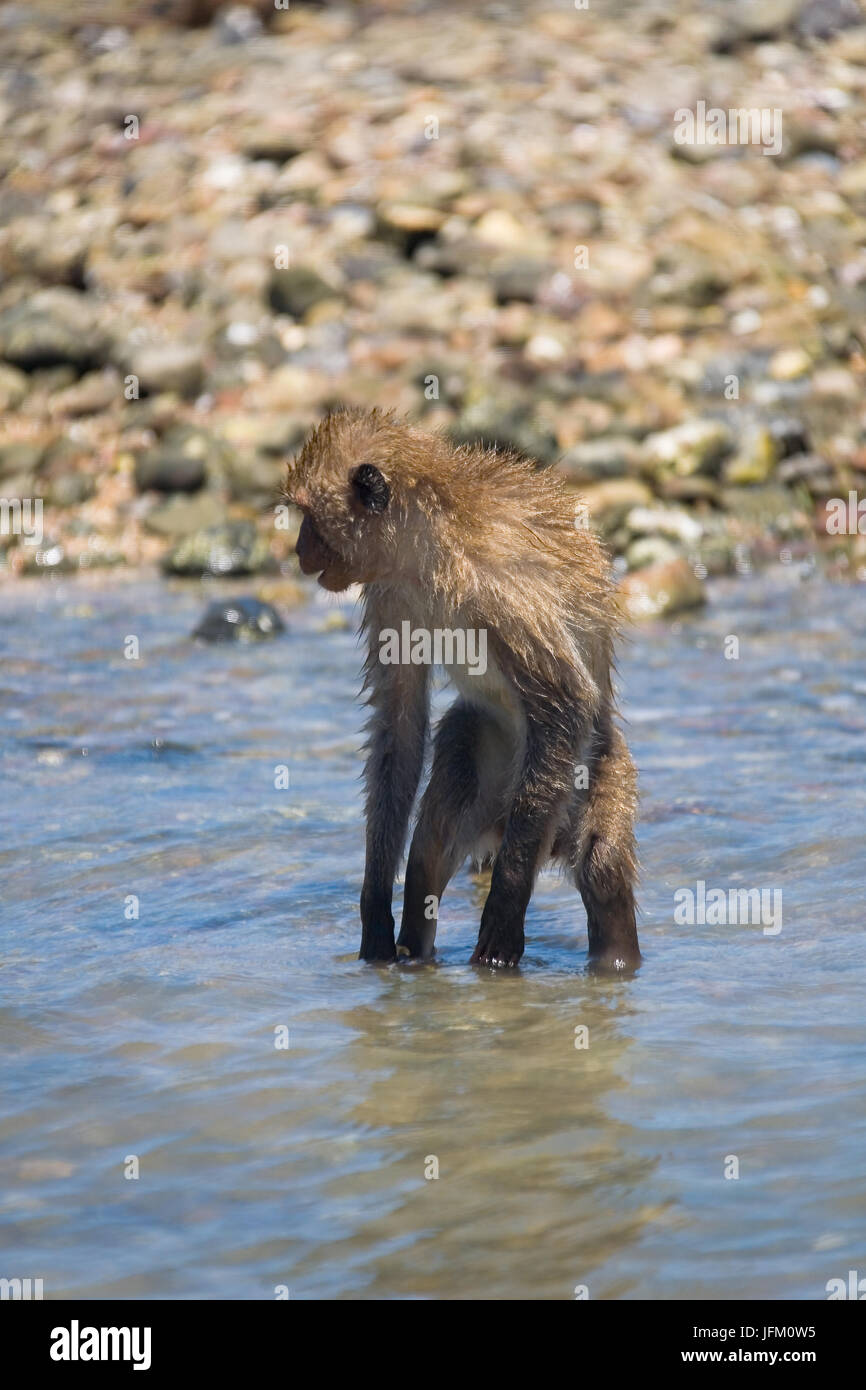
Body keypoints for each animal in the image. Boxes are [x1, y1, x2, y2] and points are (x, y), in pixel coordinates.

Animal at [285, 407, 640, 972]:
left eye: (306, 516)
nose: (298, 551)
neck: (432, 545)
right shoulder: (391, 591)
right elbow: (400, 723)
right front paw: (374, 909)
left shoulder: (502, 591)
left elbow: (565, 705)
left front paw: (506, 904)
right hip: (483, 766)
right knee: (432, 846)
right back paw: (415, 950)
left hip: (589, 774)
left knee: (602, 870)